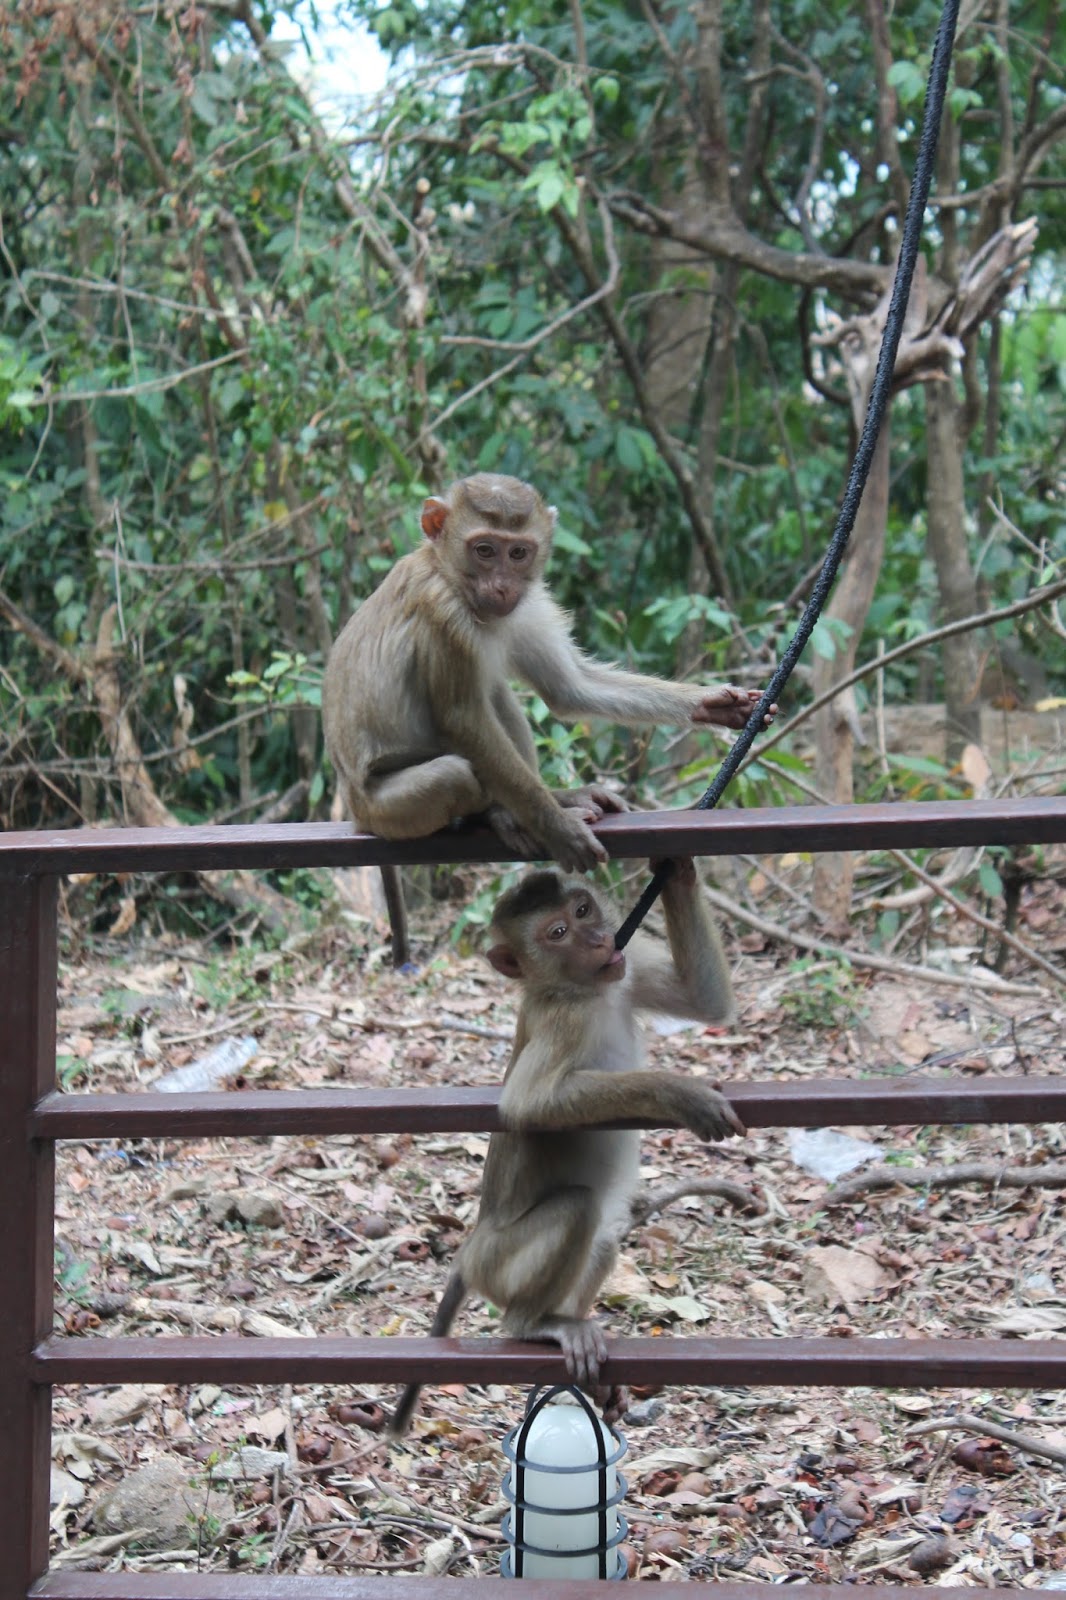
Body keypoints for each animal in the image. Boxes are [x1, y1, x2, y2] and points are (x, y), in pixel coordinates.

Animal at [322, 473, 776, 891]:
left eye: (518, 553)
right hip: (389, 811)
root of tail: (355, 808)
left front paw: (718, 705)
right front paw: (558, 828)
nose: (502, 586)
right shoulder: (441, 612)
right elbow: (462, 719)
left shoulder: (528, 602)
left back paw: (556, 798)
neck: (449, 576)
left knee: (497, 696)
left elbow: (569, 688)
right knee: (455, 769)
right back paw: (506, 814)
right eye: (484, 551)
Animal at [387, 858, 742, 1436]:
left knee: (605, 1237)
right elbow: (529, 1104)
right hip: (498, 1264)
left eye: (582, 910)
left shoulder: (626, 972)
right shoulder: (562, 1022)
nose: (599, 940)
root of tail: (470, 1247)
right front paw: (682, 1092)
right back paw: (533, 1324)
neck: (584, 991)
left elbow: (704, 1000)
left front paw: (676, 869)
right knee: (579, 1207)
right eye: (557, 933)